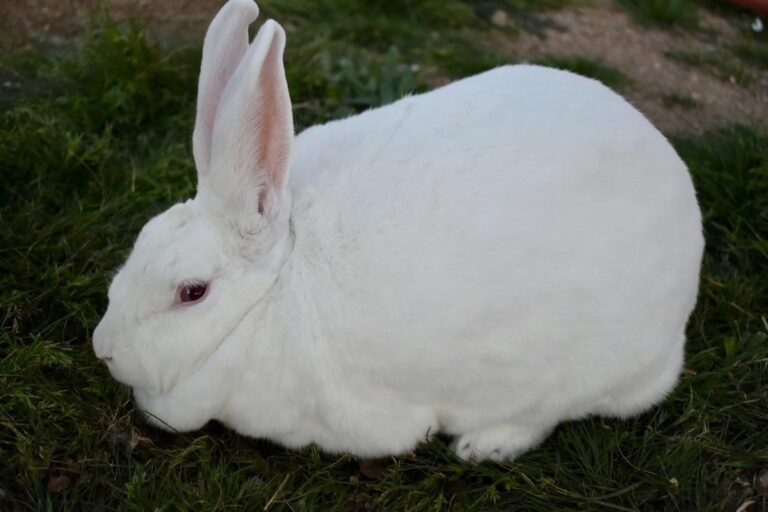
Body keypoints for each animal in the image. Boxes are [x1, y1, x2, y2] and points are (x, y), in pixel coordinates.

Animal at [92, 0, 704, 462]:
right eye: (141, 241)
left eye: (192, 292)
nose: (104, 349)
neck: (275, 285)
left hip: (574, 370)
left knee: (547, 410)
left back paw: (484, 446)